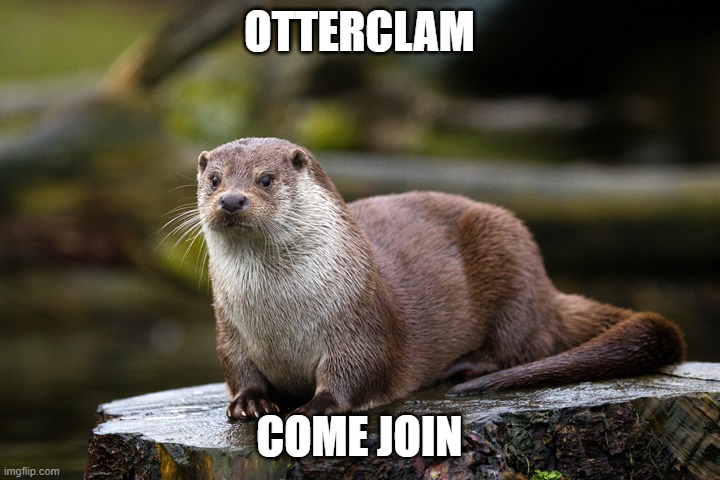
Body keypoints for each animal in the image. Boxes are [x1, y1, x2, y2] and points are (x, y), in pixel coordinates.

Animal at [195, 137, 685, 420]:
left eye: (266, 179)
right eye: (214, 179)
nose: (232, 200)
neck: (280, 316)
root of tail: (548, 291)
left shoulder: (360, 321)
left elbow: (357, 372)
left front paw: (316, 405)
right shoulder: (229, 329)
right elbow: (237, 369)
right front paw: (251, 402)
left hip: (508, 248)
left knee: (525, 341)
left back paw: (465, 367)